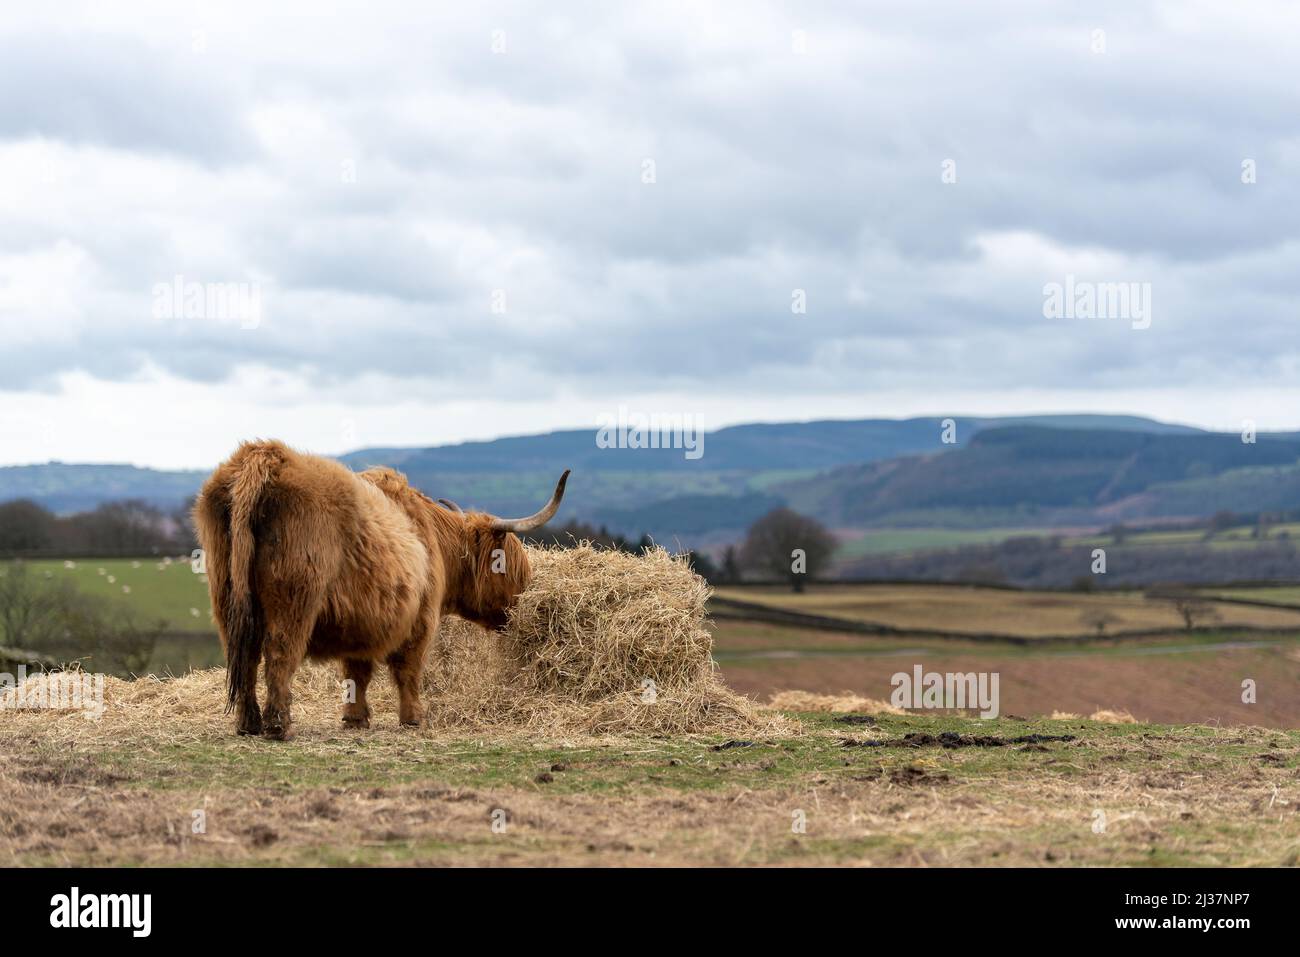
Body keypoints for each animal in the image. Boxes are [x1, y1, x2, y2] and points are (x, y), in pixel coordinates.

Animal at [193, 439, 569, 739]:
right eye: (510, 566)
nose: (520, 607)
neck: (434, 539)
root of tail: (265, 456)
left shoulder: (361, 620)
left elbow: (356, 673)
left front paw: (355, 719)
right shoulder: (421, 620)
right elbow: (408, 670)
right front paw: (414, 718)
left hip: (226, 597)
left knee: (245, 656)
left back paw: (248, 724)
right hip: (293, 601)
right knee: (278, 652)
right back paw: (278, 725)